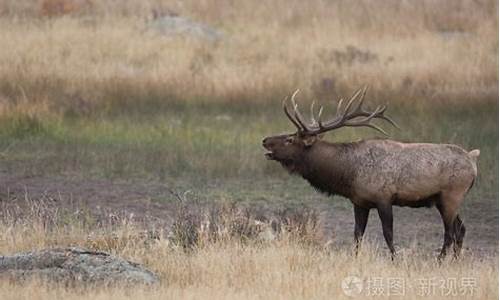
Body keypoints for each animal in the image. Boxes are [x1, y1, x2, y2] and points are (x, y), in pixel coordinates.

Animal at [262, 86, 480, 260]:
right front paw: (355, 258)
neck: (349, 174)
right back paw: (454, 261)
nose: (265, 140)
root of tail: (473, 159)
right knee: (461, 229)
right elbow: (357, 234)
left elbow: (388, 233)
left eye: (290, 139)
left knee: (450, 232)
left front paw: (395, 259)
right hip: (443, 200)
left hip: (451, 195)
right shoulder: (359, 201)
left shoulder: (384, 198)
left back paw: (440, 261)